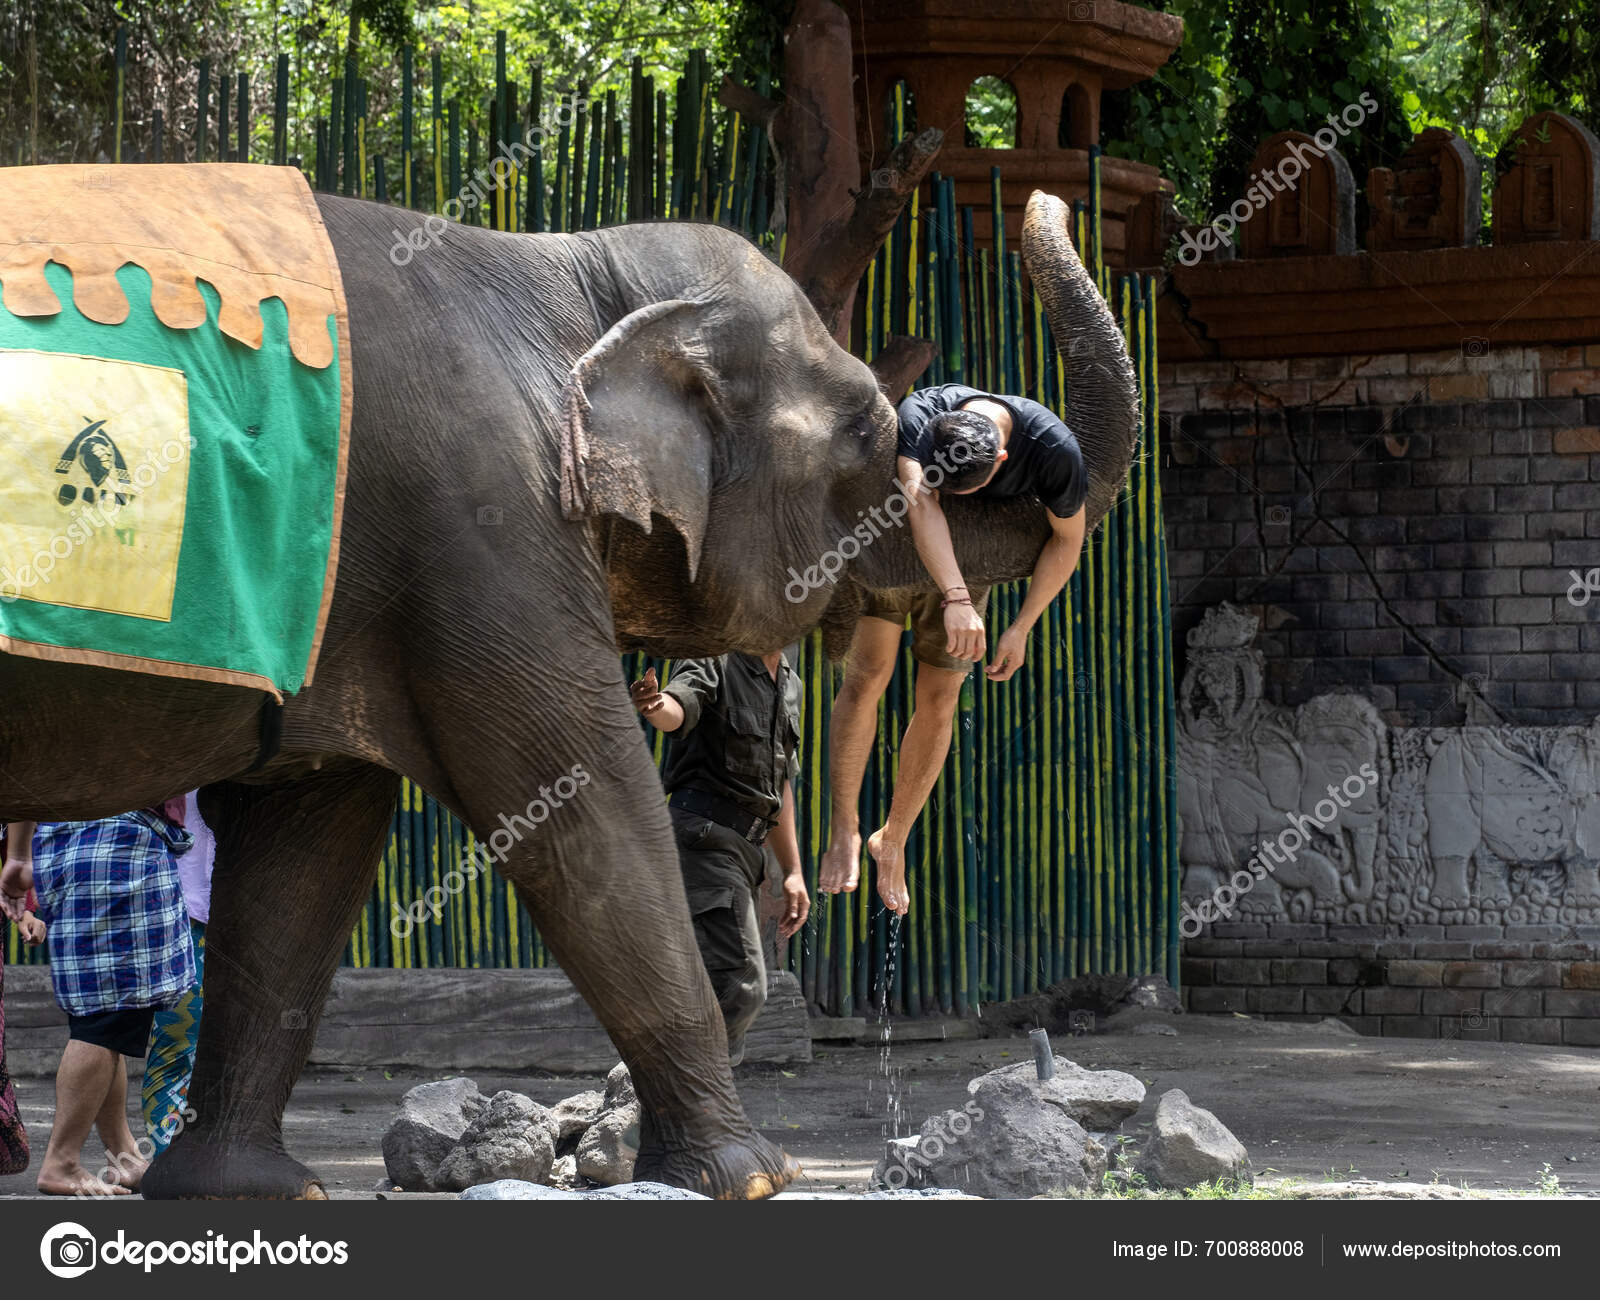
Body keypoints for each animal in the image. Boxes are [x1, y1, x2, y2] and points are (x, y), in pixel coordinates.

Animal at [0, 182, 1137, 1199]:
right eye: (864, 430)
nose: (1044, 198)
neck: (571, 271)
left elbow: (310, 840)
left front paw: (248, 1195)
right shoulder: (486, 526)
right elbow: (581, 794)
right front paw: (752, 1178)